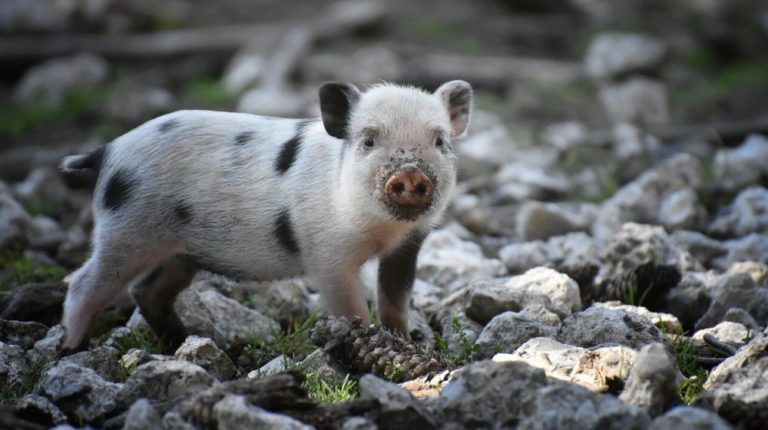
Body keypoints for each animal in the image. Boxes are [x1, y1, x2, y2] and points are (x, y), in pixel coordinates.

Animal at [58, 80, 473, 352]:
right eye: (369, 140)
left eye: (439, 141)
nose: (410, 173)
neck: (383, 230)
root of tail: (107, 151)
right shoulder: (326, 254)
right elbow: (352, 307)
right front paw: (364, 339)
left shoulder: (408, 247)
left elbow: (395, 299)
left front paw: (404, 342)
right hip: (125, 230)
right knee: (83, 283)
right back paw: (72, 349)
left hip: (179, 252)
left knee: (146, 291)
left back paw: (188, 342)